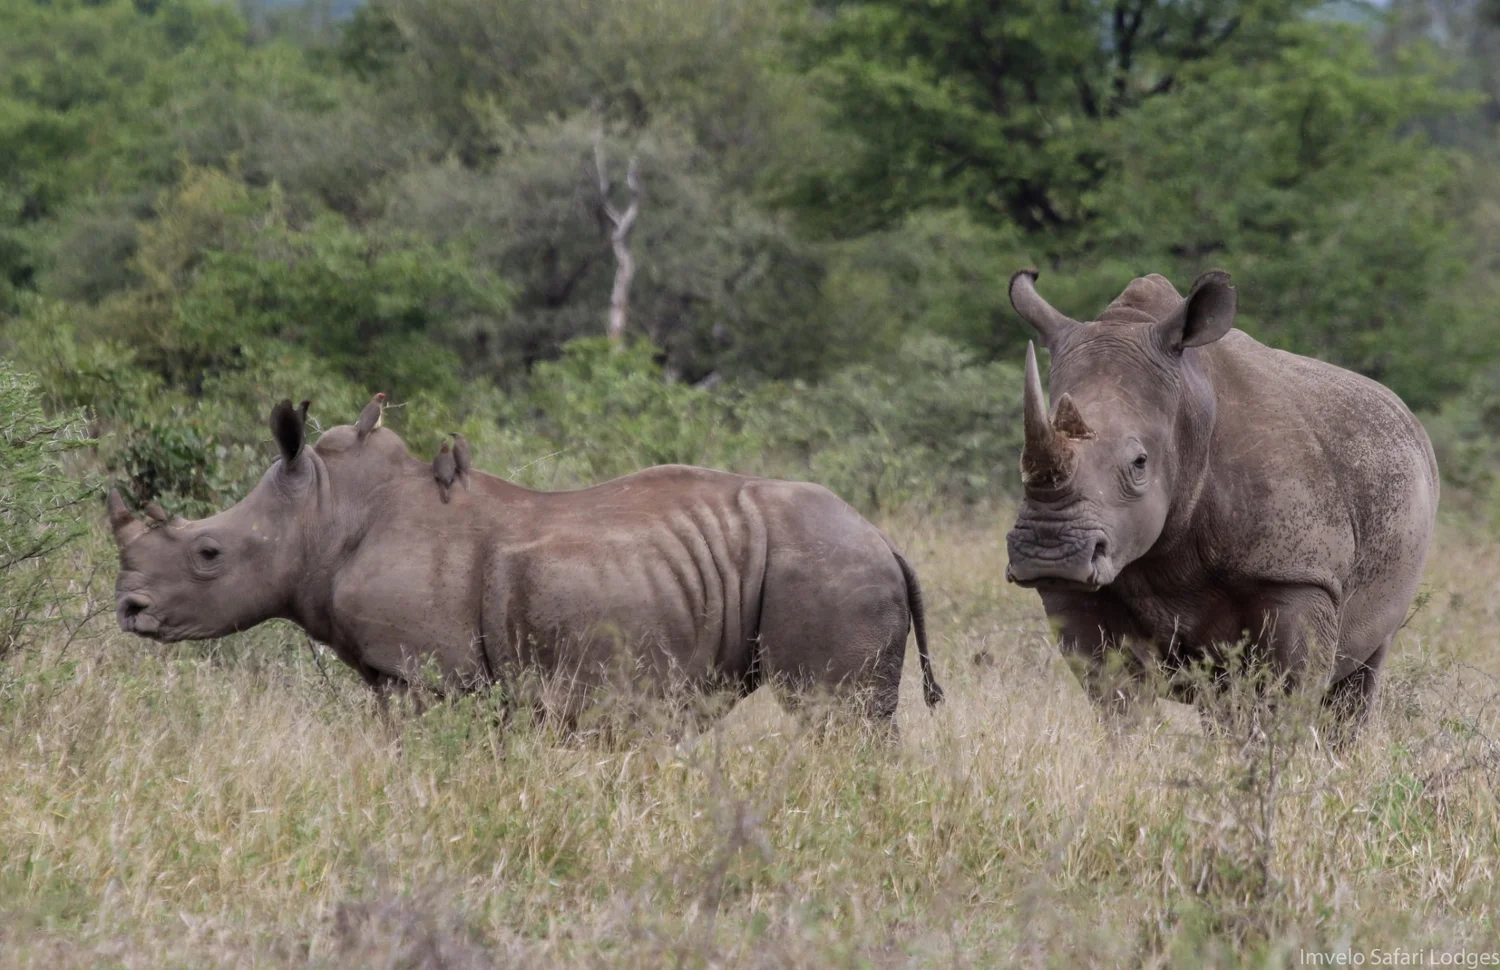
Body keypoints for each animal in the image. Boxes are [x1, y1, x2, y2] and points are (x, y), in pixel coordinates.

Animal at [108, 401, 943, 728]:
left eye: (207, 553)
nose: (130, 610)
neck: (325, 516)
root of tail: (883, 539)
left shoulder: (427, 671)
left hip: (826, 567)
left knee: (834, 720)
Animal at [1004, 269, 1438, 738]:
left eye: (1139, 463)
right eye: (1020, 459)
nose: (1050, 553)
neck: (1190, 411)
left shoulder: (1297, 575)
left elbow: (1285, 694)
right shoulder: (1076, 590)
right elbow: (1118, 699)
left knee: (1358, 678)